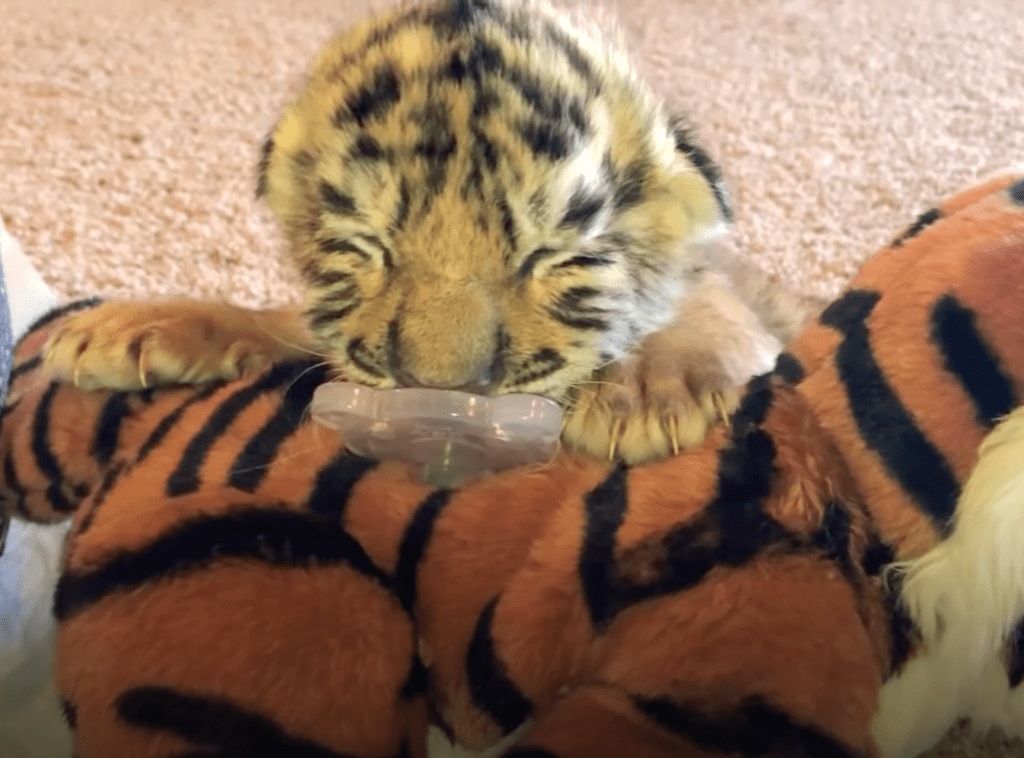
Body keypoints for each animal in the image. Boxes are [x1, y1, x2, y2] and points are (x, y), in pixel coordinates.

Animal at [38, 0, 821, 466]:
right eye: (369, 248)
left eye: (551, 256)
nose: (441, 393)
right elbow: (283, 319)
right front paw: (130, 326)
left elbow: (705, 293)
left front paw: (648, 392)